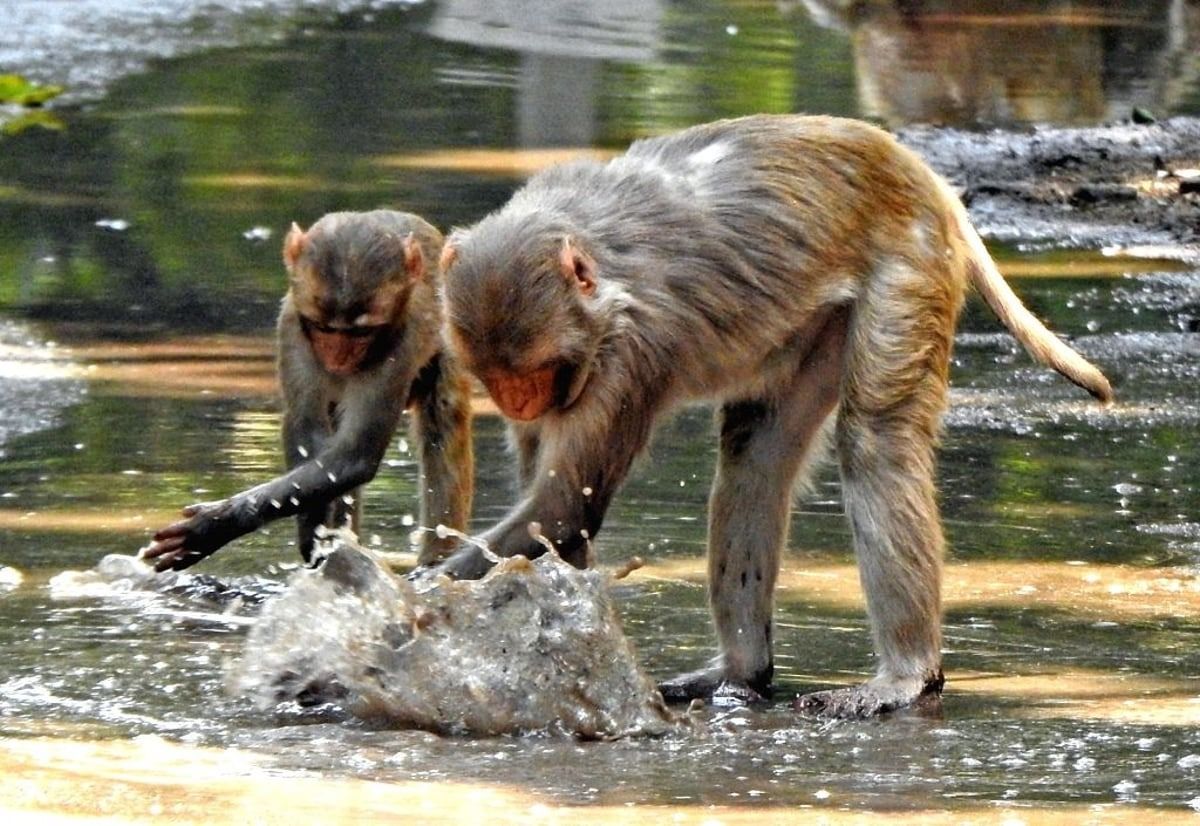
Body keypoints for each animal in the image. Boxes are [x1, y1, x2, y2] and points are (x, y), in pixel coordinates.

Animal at [143, 210, 474, 572]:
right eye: (323, 328)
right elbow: (309, 432)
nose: (339, 358)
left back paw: (435, 559)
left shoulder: (403, 340)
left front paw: (214, 524)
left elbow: (354, 455)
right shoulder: (291, 325)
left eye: (363, 332)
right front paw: (314, 536)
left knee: (442, 422)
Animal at [426, 115, 1112, 719]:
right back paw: (744, 672)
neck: (600, 281)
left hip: (909, 269)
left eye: (532, 373)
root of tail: (918, 171)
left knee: (875, 440)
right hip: (816, 325)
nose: (519, 402)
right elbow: (556, 528)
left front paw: (419, 597)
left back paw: (908, 676)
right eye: (501, 381)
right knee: (757, 455)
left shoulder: (627, 356)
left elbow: (565, 506)